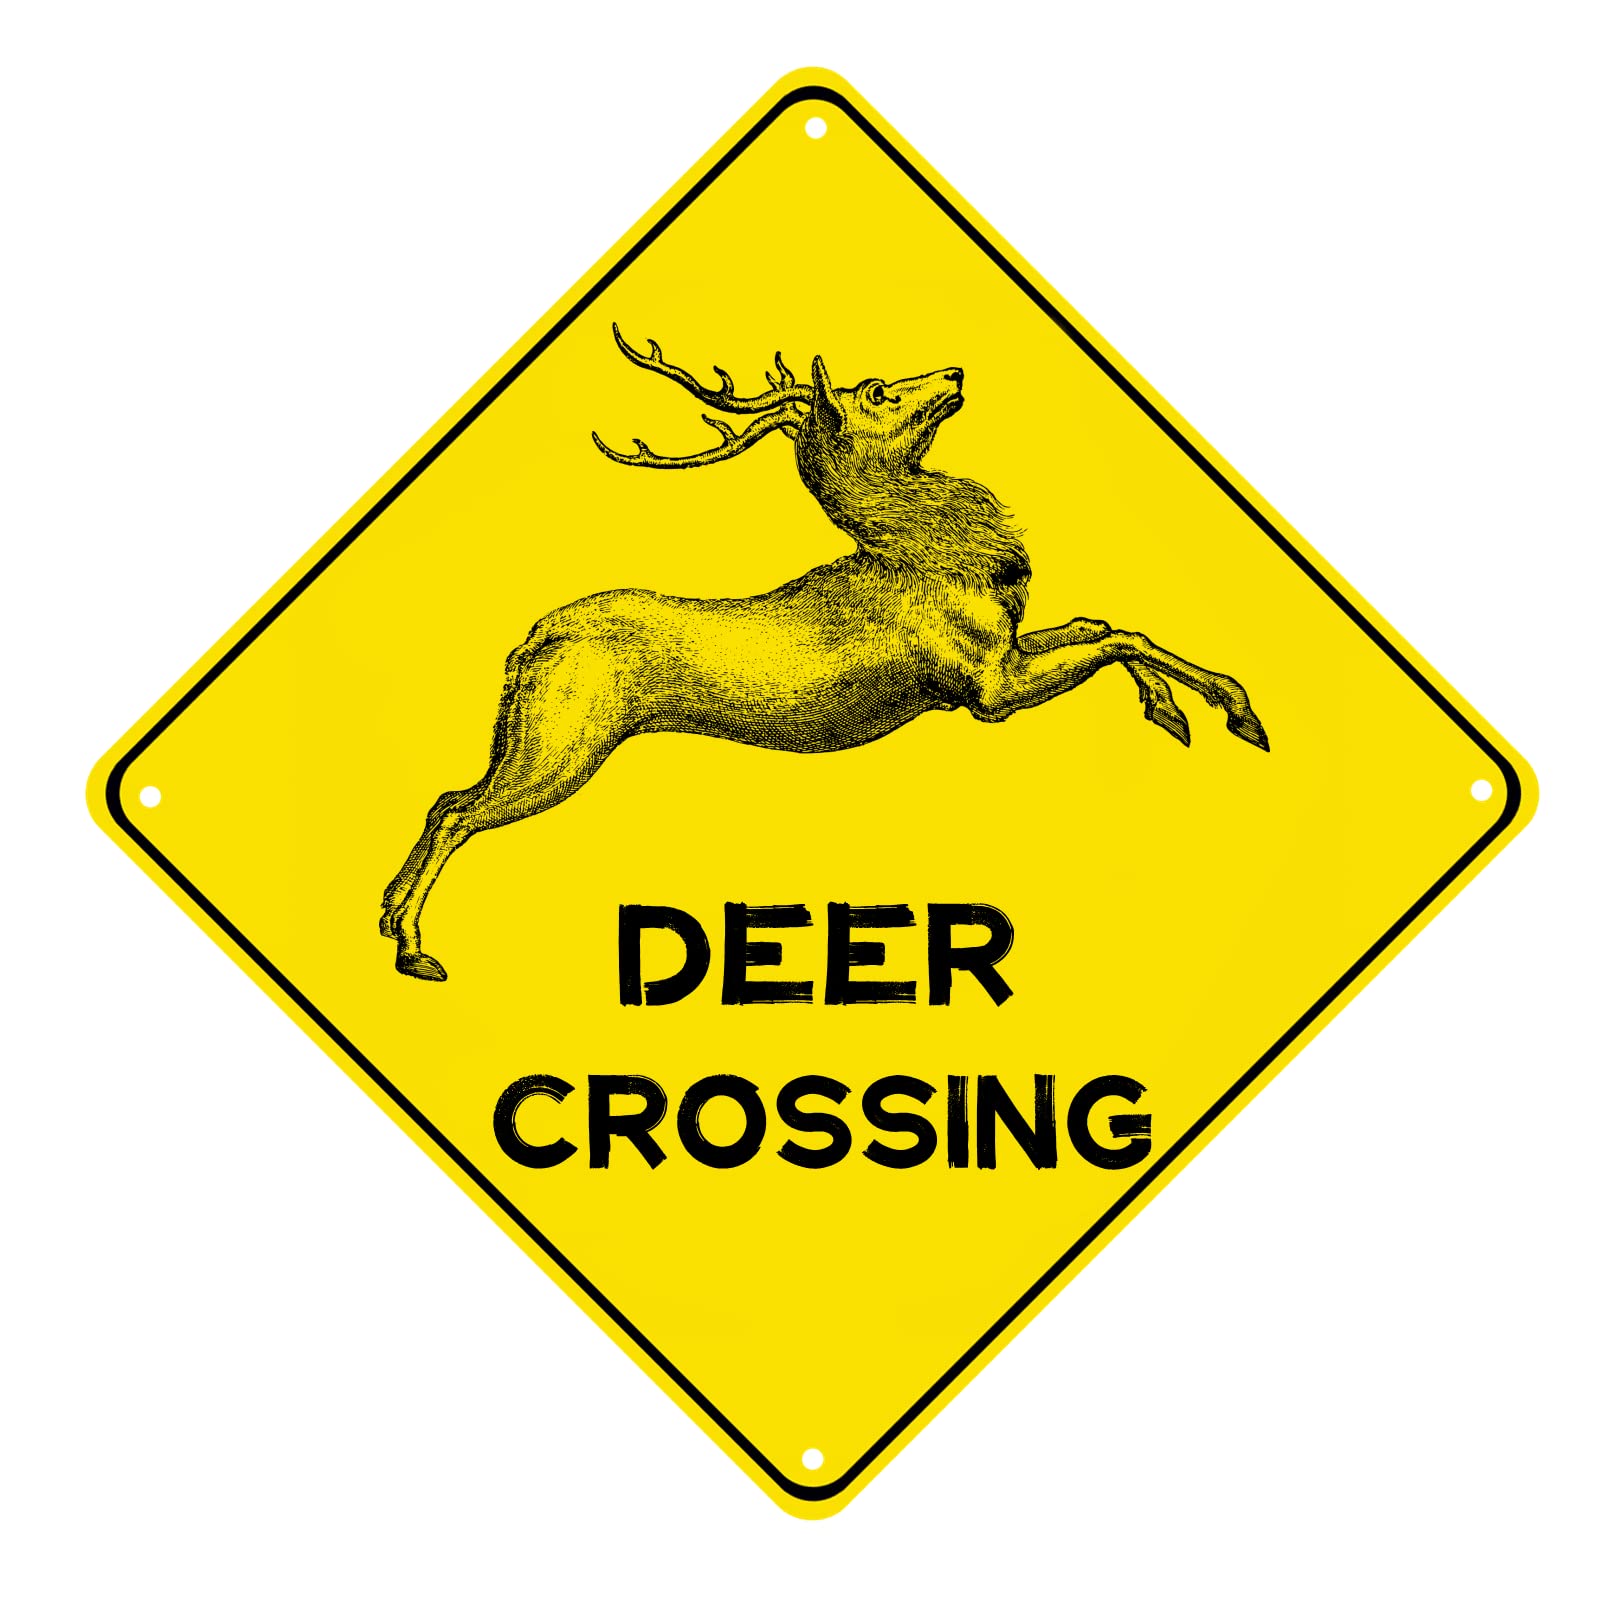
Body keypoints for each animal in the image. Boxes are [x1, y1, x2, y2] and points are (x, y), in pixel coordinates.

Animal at [379, 325, 1269, 981]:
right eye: (874, 388)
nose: (955, 369)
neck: (937, 554)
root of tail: (531, 642)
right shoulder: (984, 686)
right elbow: (1119, 634)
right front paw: (1235, 712)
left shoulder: (1007, 652)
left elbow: (1100, 622)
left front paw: (1174, 711)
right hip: (566, 740)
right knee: (459, 811)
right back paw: (417, 950)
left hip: (530, 733)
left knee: (446, 796)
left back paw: (389, 916)